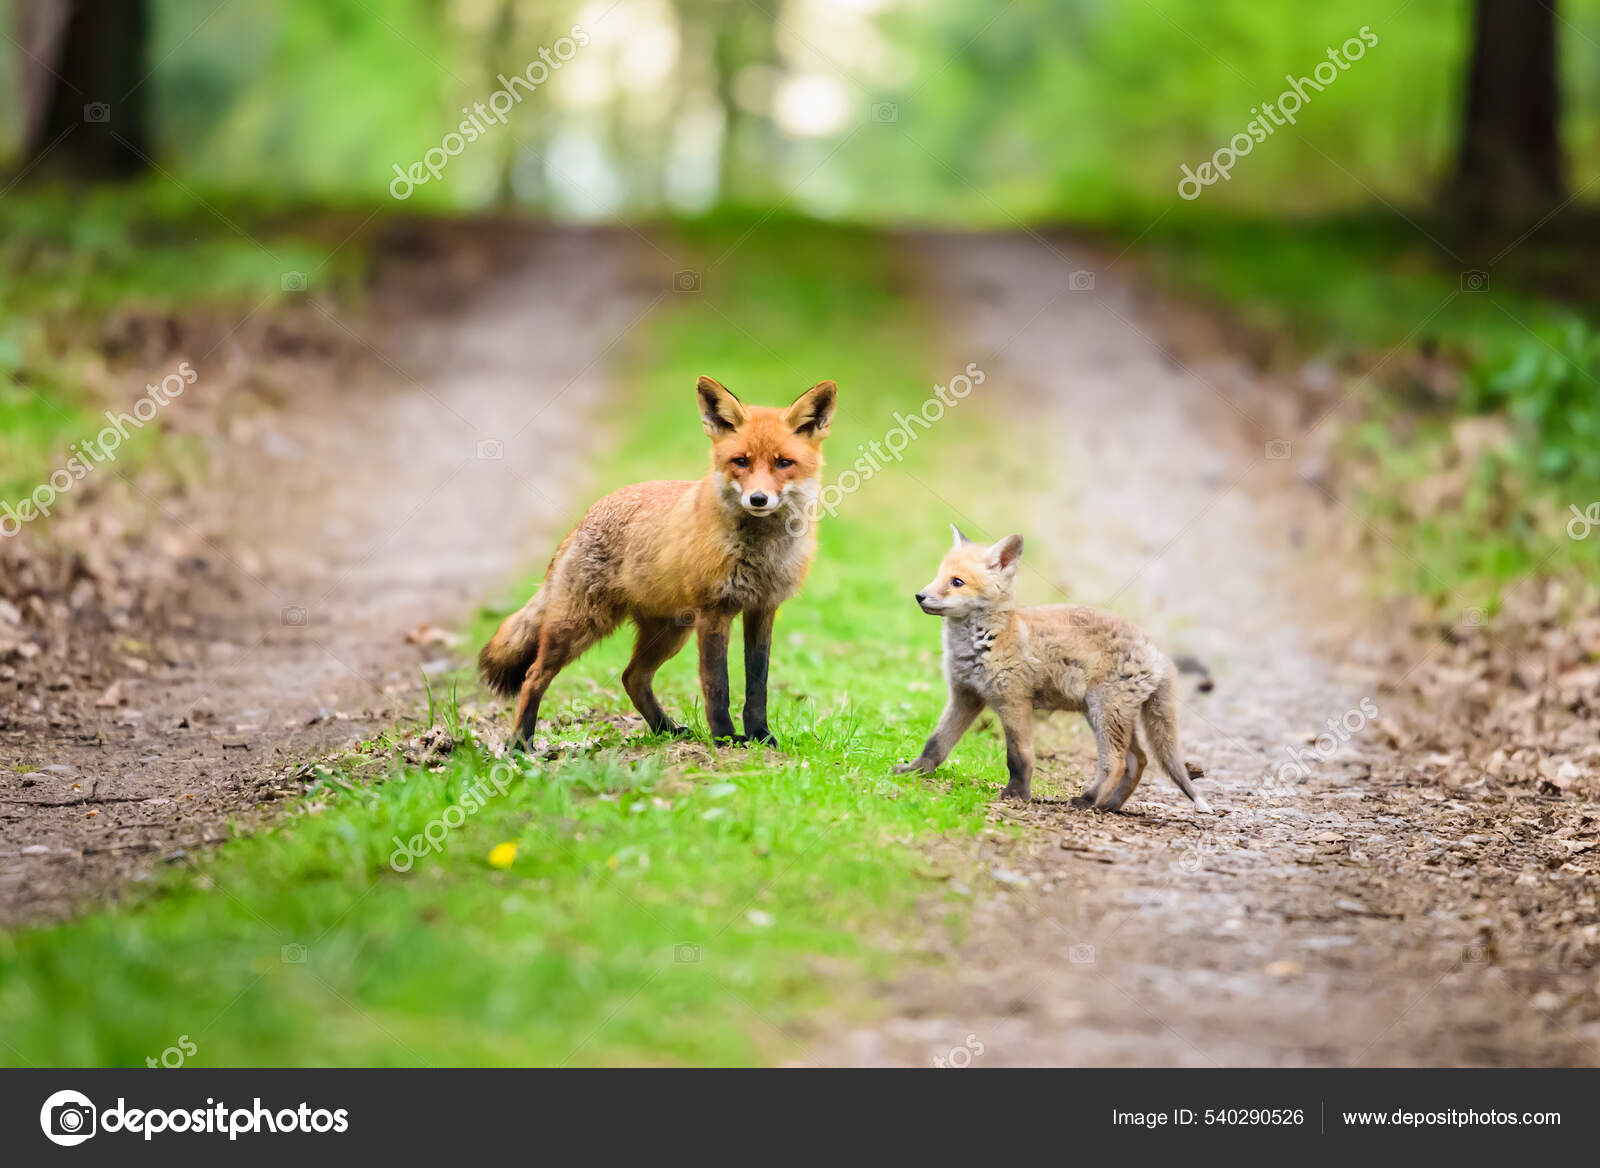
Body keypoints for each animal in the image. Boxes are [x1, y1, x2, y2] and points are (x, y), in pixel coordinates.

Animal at [479, 376, 836, 749]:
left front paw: (760, 735)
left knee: (632, 677)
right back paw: (520, 743)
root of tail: (586, 516)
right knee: (534, 676)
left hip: (669, 632)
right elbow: (717, 685)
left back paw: (665, 729)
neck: (760, 551)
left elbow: (758, 685)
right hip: (581, 626)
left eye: (783, 463)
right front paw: (725, 738)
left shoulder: (763, 609)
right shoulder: (714, 611)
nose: (758, 498)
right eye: (741, 461)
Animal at [895, 526, 1212, 814]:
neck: (984, 642)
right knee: (1139, 760)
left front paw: (1017, 794)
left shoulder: (1013, 701)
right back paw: (1108, 806)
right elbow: (936, 742)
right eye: (938, 576)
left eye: (957, 582)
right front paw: (916, 770)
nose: (919, 596)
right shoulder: (965, 697)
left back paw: (1087, 800)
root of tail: (1155, 648)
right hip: (1109, 715)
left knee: (1116, 761)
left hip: (1104, 712)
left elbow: (1019, 756)